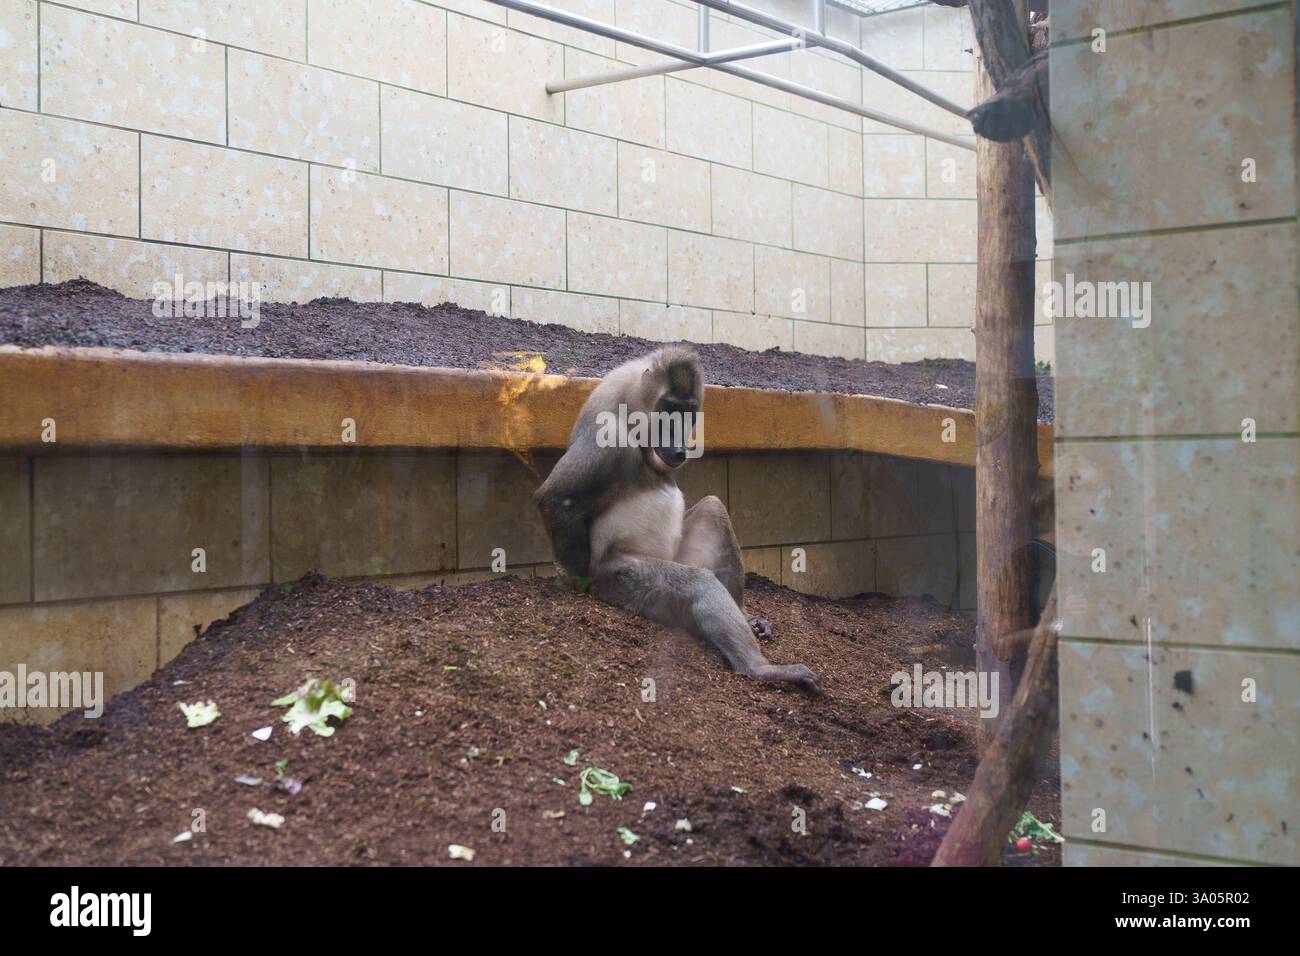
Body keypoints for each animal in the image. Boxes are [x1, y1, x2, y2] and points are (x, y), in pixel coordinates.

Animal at [534, 346, 819, 692]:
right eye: (668, 409)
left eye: (687, 412)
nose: (680, 448)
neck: (630, 409)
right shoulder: (607, 438)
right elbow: (555, 498)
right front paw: (581, 582)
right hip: (631, 580)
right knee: (697, 581)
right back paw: (760, 668)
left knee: (713, 508)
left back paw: (745, 617)